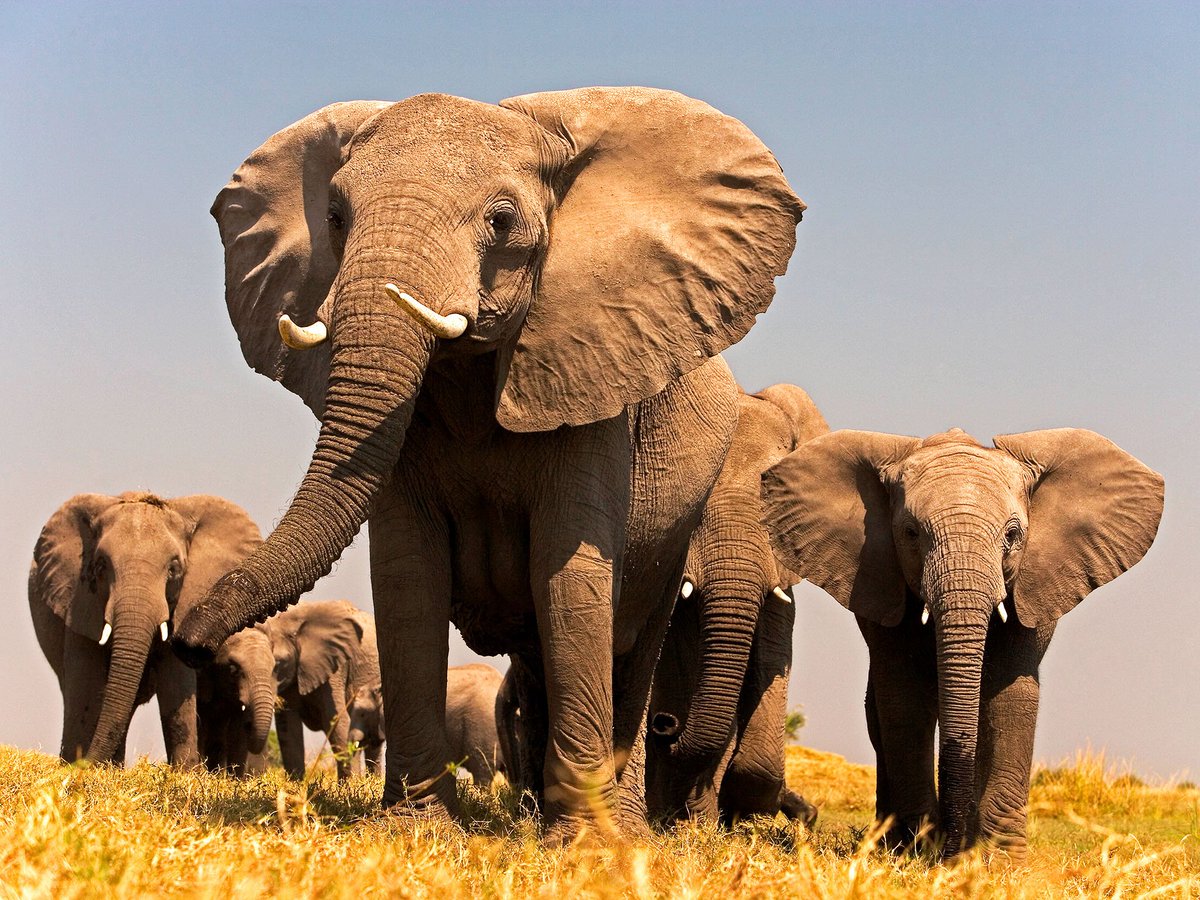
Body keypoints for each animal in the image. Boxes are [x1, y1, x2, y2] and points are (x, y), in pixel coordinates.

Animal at [28, 492, 261, 765]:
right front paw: (74, 767)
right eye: (100, 566)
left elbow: (176, 681)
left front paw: (184, 772)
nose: (86, 762)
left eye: (174, 569)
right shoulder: (79, 601)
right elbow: (85, 684)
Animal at [259, 599, 370, 780]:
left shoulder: (334, 666)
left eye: (278, 664)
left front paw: (351, 784)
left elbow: (338, 720)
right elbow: (289, 729)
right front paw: (295, 784)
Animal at [761, 427, 1164, 860]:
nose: (951, 851)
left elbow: (1010, 694)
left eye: (1013, 535)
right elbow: (904, 700)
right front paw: (919, 853)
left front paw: (1001, 862)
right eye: (911, 534)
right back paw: (889, 843)